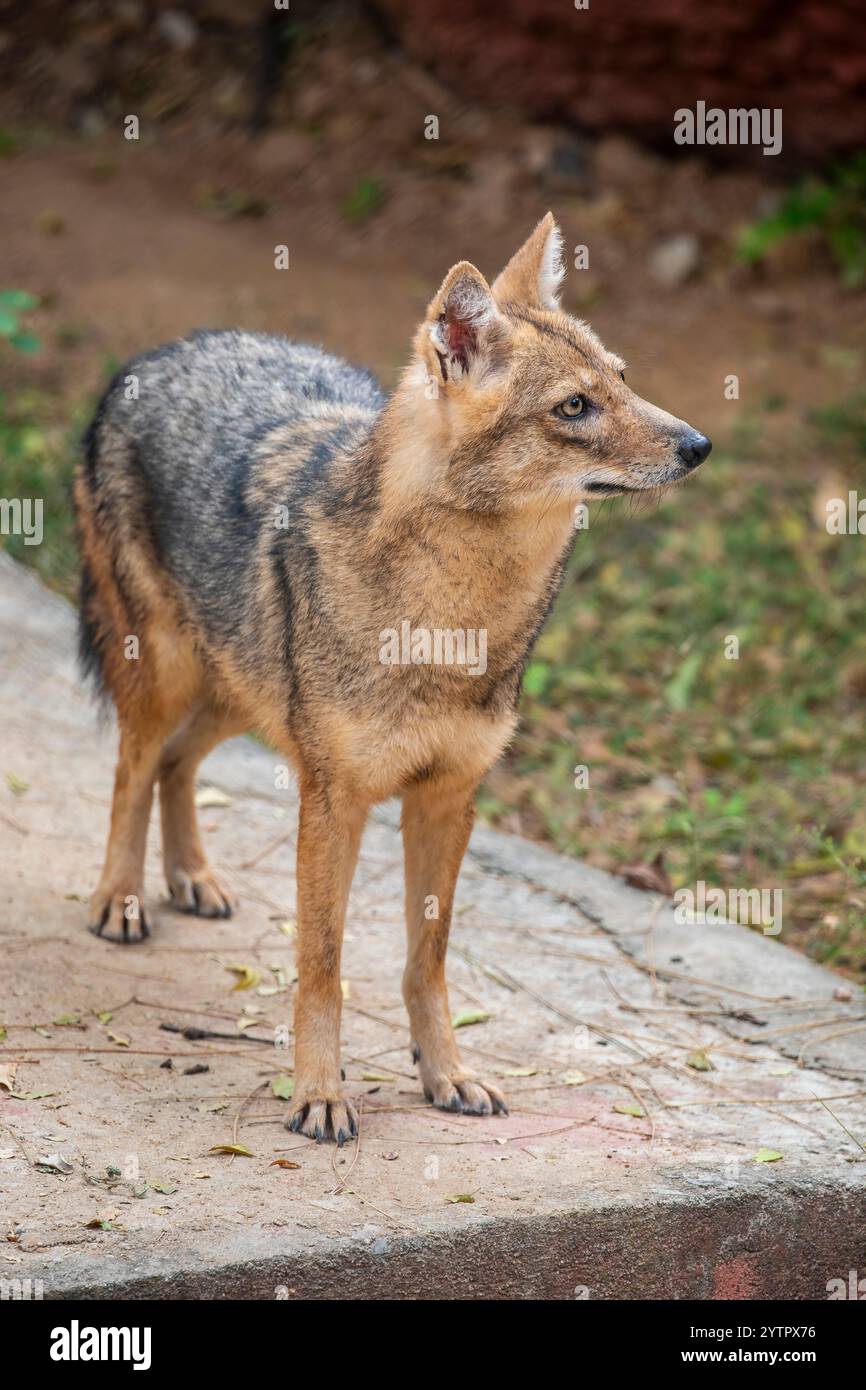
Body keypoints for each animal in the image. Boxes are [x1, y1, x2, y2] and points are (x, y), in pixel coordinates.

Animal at [74, 214, 710, 1142]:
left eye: (624, 382)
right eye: (575, 407)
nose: (700, 446)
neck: (453, 621)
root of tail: (161, 350)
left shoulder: (447, 796)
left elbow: (426, 962)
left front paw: (448, 1075)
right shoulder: (333, 798)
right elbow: (323, 965)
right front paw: (318, 1093)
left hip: (243, 696)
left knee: (175, 765)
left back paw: (193, 879)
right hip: (168, 675)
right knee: (131, 768)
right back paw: (121, 902)